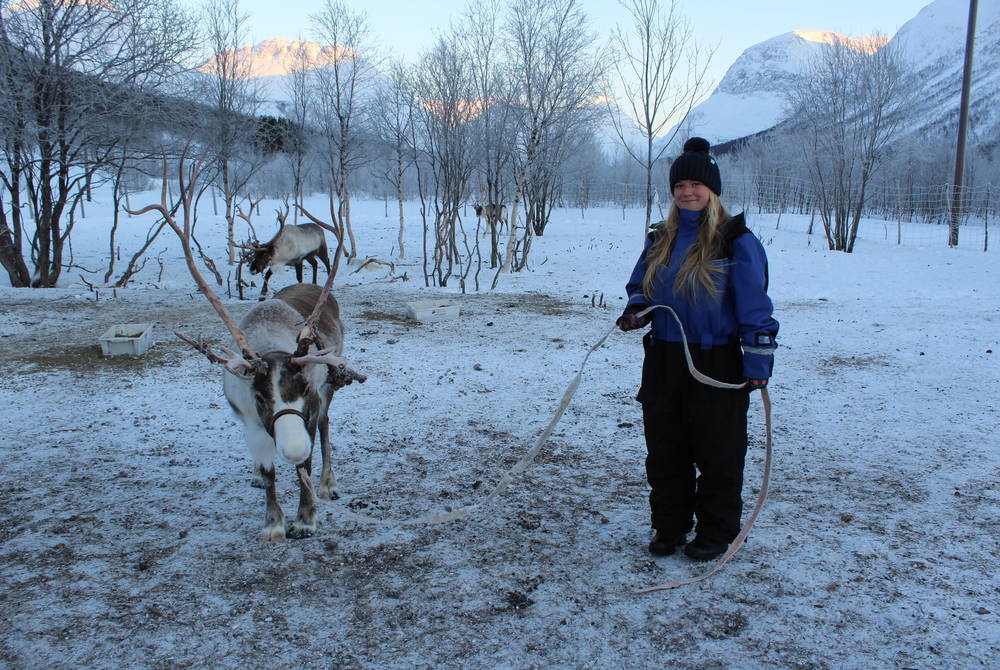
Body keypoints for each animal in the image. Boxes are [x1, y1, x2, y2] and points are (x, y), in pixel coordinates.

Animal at [129, 157, 364, 542]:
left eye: (303, 389)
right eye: (260, 397)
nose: (292, 448)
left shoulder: (313, 404)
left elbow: (307, 463)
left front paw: (306, 519)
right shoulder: (251, 420)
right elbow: (269, 472)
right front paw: (273, 523)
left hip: (330, 389)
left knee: (328, 430)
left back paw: (329, 483)